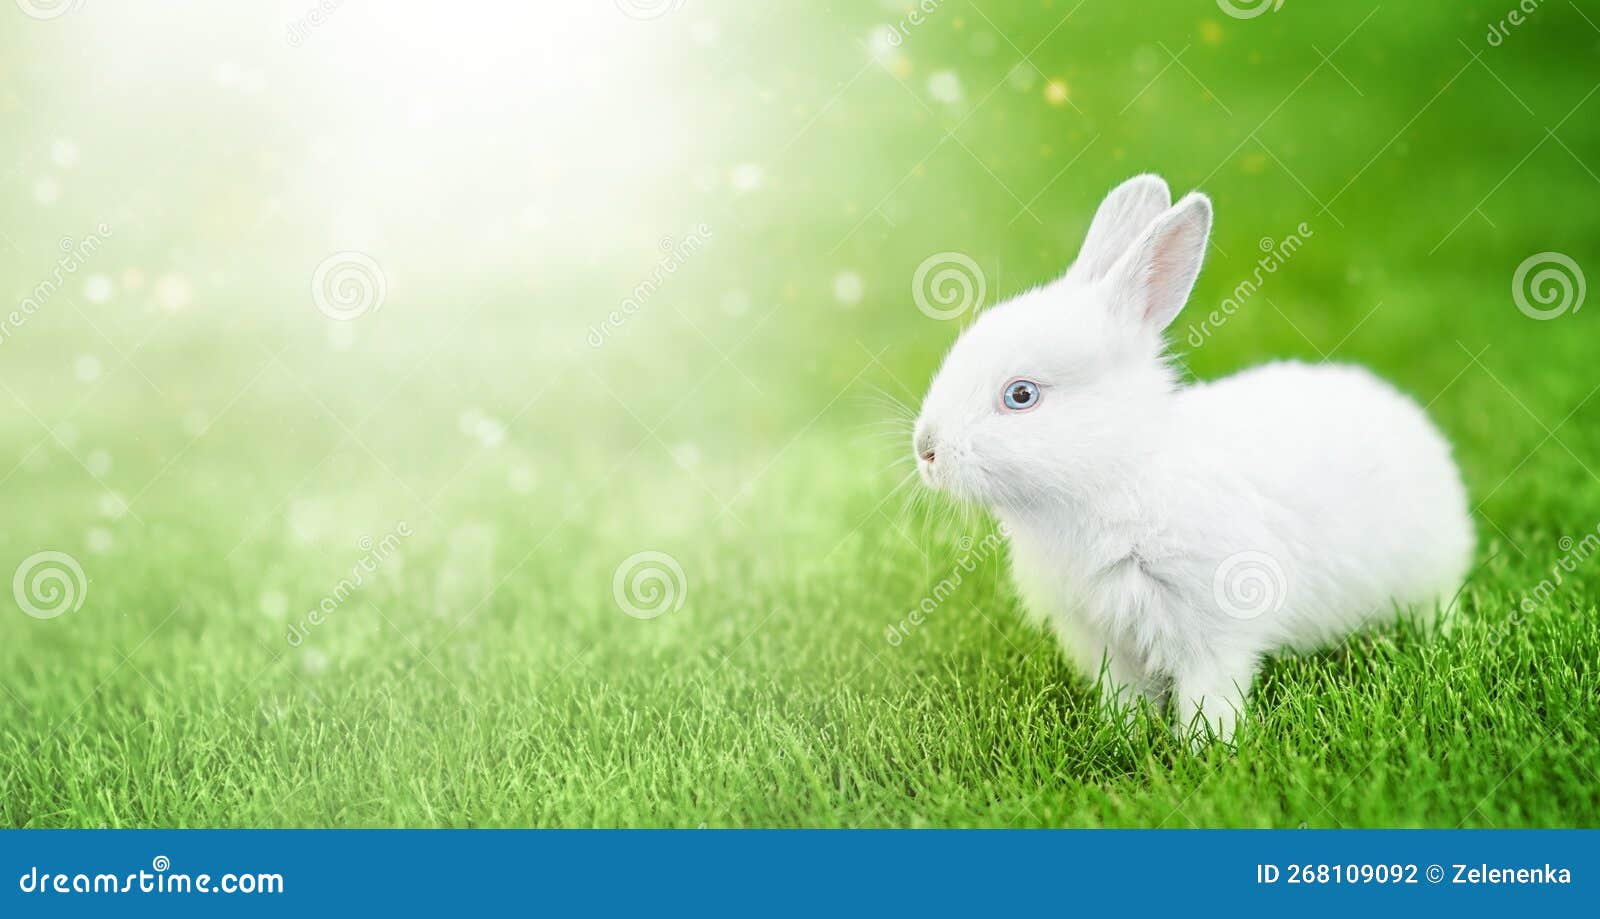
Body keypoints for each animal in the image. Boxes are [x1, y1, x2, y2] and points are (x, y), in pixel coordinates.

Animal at [912, 174, 1474, 744]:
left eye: (1021, 395)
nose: (926, 449)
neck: (1120, 472)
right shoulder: (1108, 641)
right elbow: (1125, 694)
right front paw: (1125, 734)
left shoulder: (1214, 629)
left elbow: (1210, 691)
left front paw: (1207, 746)